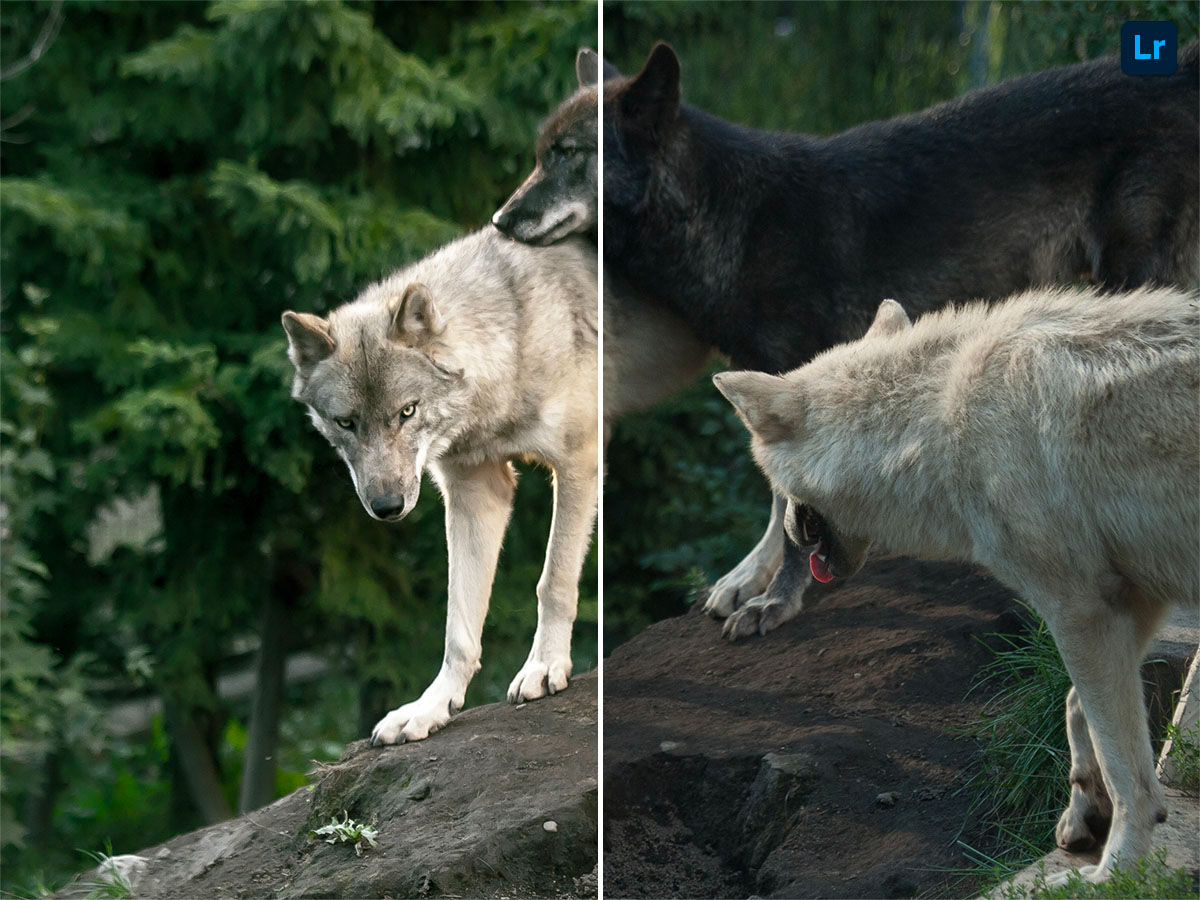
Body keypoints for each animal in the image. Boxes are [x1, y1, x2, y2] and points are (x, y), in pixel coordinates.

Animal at [282, 228, 598, 744]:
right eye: (346, 423)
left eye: (407, 411)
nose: (386, 506)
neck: (513, 338)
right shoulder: (477, 491)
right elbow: (458, 627)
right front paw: (431, 707)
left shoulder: (578, 460)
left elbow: (553, 581)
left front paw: (545, 666)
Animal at [714, 286, 1200, 882]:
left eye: (773, 486)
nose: (786, 529)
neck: (937, 423)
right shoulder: (1132, 598)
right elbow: (1077, 705)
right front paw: (1083, 811)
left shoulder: (1076, 606)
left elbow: (1126, 769)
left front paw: (1114, 872)